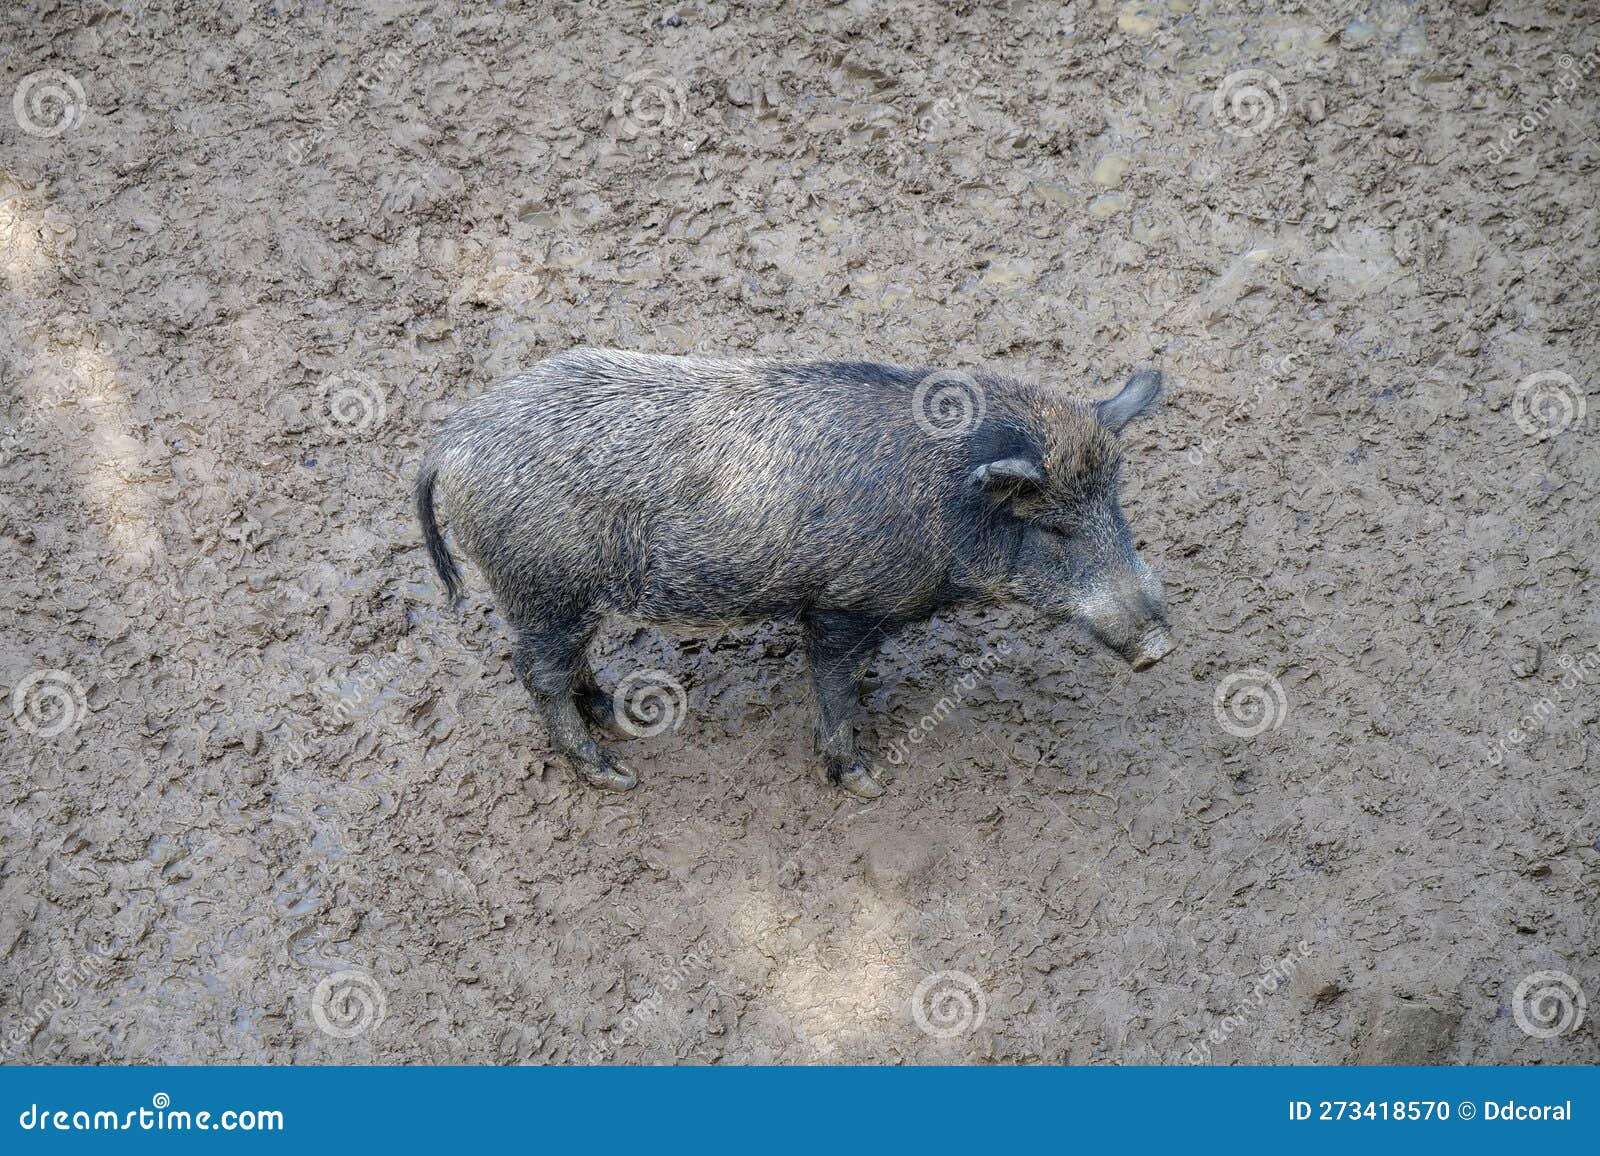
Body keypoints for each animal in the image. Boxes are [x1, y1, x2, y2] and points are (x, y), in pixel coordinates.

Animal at [415, 349, 1171, 799]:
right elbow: (833, 685)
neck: (946, 503)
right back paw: (615, 773)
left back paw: (612, 713)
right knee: (535, 674)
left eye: (1116, 503)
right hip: (543, 589)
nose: (1161, 645)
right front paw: (861, 780)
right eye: (1054, 528)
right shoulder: (840, 606)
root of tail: (450, 440)